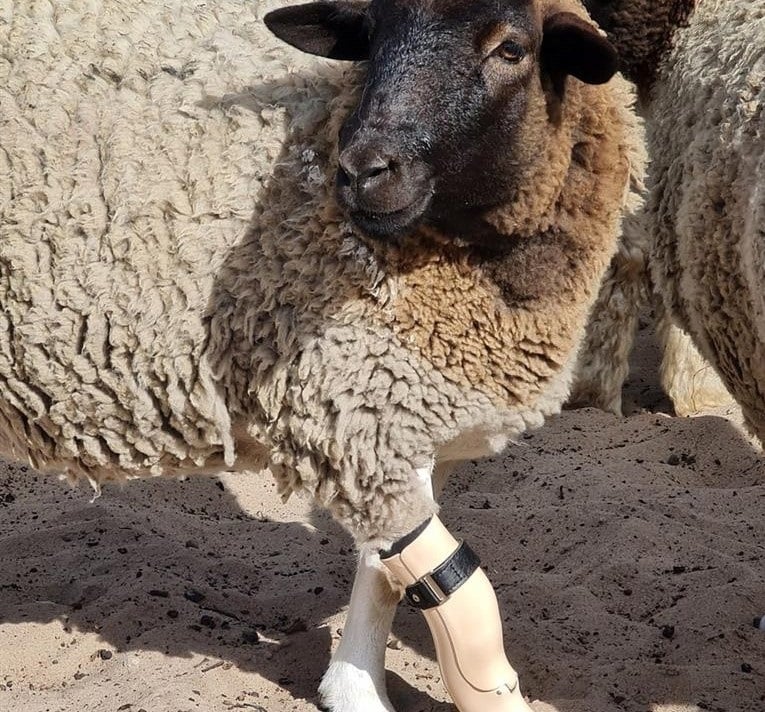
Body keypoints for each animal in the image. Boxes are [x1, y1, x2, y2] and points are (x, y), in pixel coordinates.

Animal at [0, 0, 645, 709]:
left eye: (512, 49)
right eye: (371, 36)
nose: (362, 170)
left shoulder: (401, 422)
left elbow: (385, 573)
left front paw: (352, 687)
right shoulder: (351, 410)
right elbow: (467, 601)